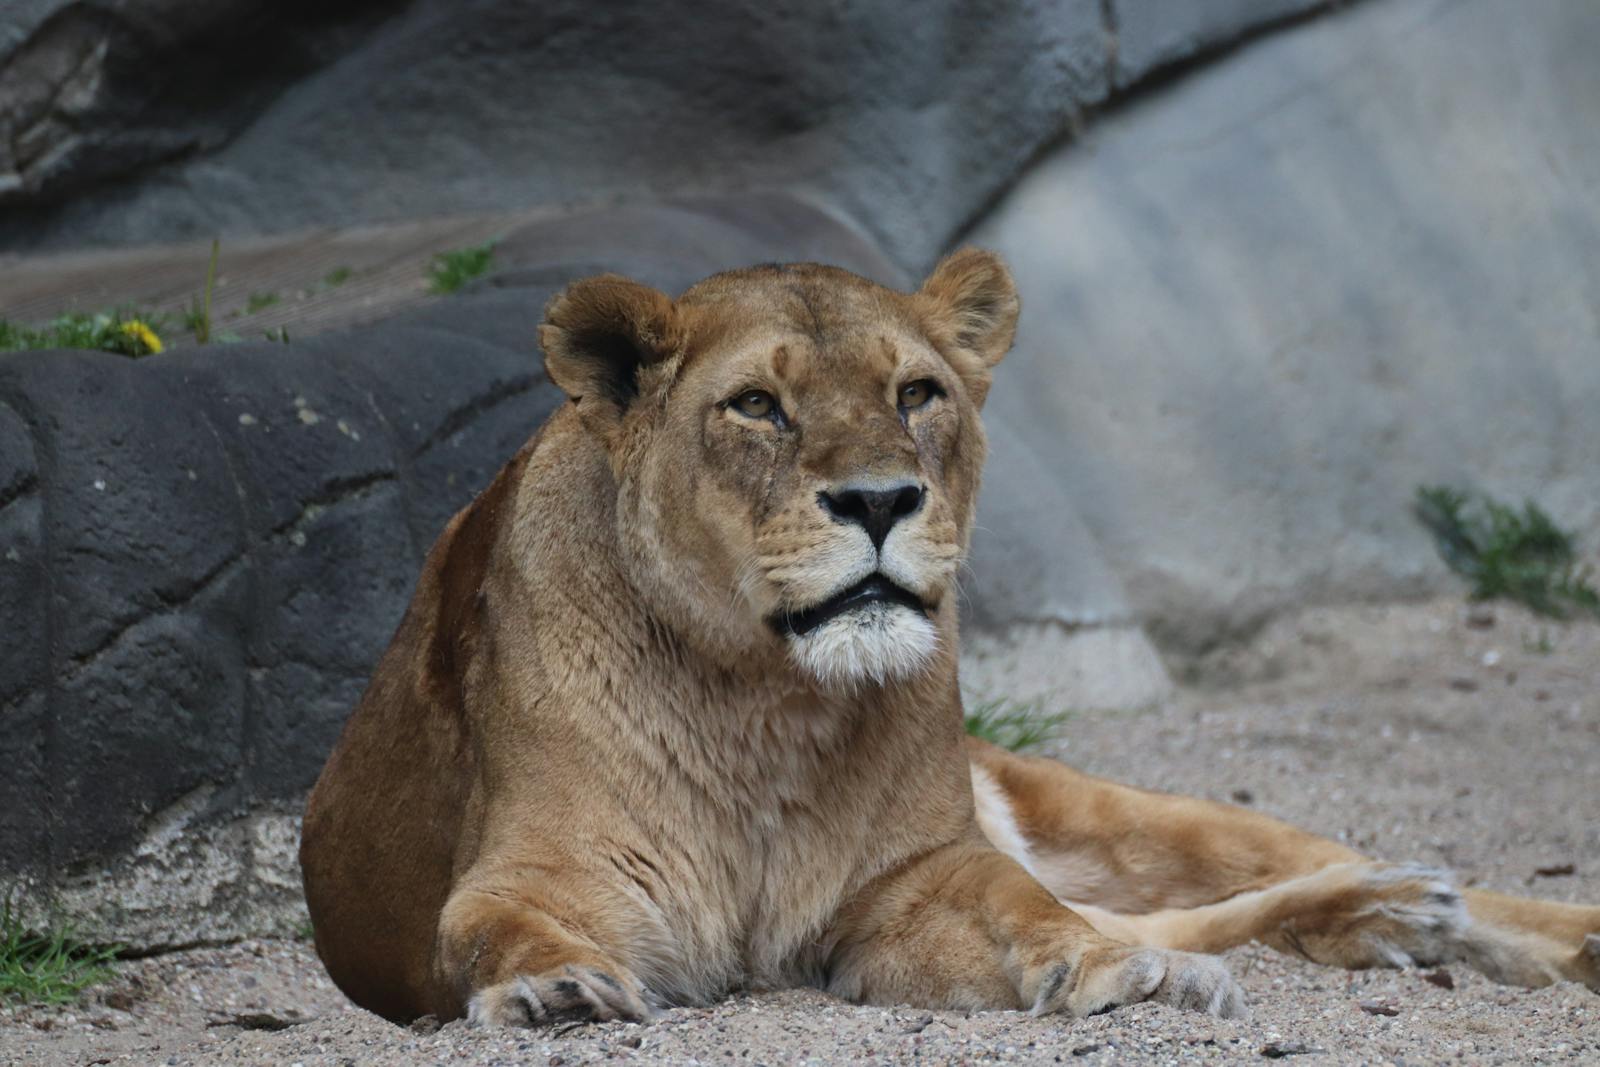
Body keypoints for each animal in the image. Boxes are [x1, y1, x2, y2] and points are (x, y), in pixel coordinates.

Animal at [300, 250, 1600, 1027]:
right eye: (757, 405)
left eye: (917, 392)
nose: (880, 499)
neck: (763, 700)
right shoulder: (529, 872)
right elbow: (494, 924)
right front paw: (559, 985)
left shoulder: (911, 874)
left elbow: (1019, 903)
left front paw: (1103, 973)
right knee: (1191, 915)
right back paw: (1377, 921)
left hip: (1103, 806)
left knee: (1270, 864)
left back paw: (1447, 911)